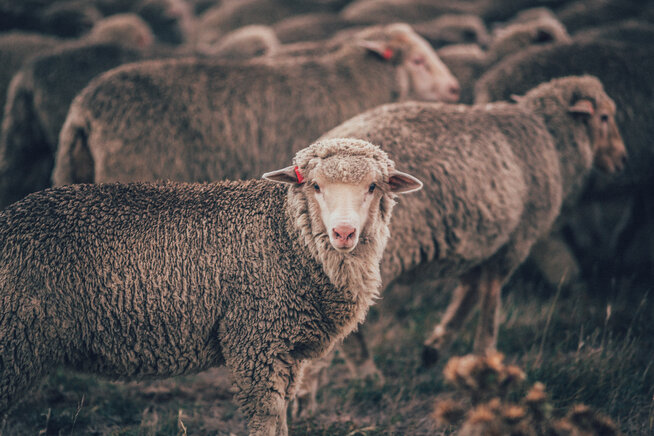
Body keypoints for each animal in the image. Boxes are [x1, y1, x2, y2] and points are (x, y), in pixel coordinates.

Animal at [0, 138, 422, 435]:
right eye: (316, 186)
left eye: (373, 187)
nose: (344, 233)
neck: (285, 235)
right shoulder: (255, 342)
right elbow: (267, 419)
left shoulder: (287, 352)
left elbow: (282, 417)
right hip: (15, 343)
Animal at [318, 75, 627, 367]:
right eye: (604, 117)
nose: (622, 159)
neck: (550, 139)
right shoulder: (514, 239)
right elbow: (490, 293)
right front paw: (484, 352)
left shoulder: (480, 240)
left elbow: (471, 288)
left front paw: (435, 346)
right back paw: (366, 371)